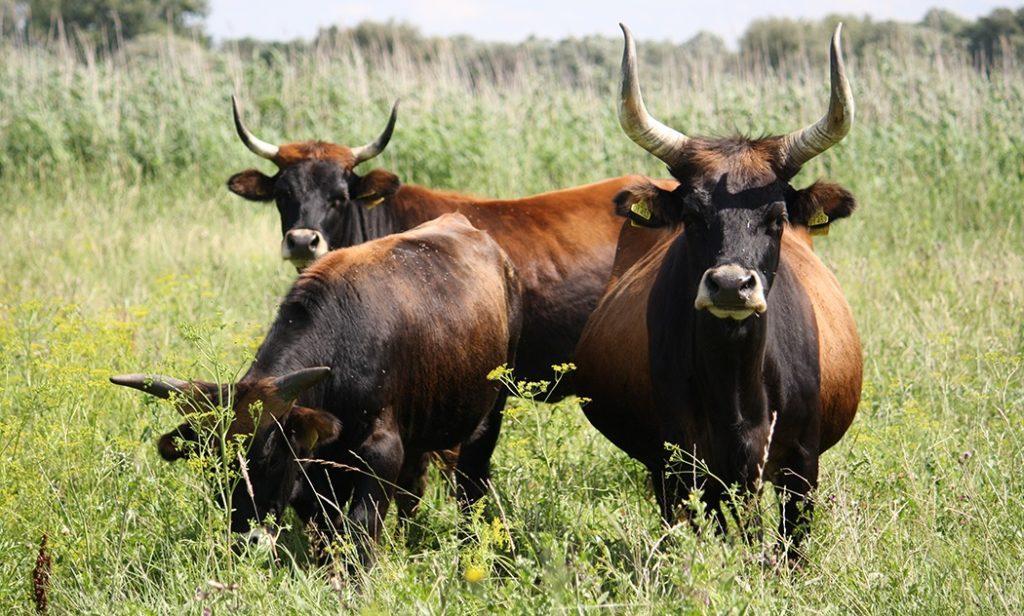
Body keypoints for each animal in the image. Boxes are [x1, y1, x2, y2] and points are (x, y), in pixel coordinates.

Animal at [111, 213, 522, 566]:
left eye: (271, 456)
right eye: (212, 461)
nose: (246, 541)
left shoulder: (382, 452)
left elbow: (360, 529)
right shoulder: (314, 476)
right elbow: (325, 535)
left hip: (489, 415)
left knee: (470, 484)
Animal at [575, 24, 862, 559]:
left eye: (777, 218)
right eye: (691, 216)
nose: (730, 285)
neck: (737, 386)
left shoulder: (800, 468)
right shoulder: (681, 469)